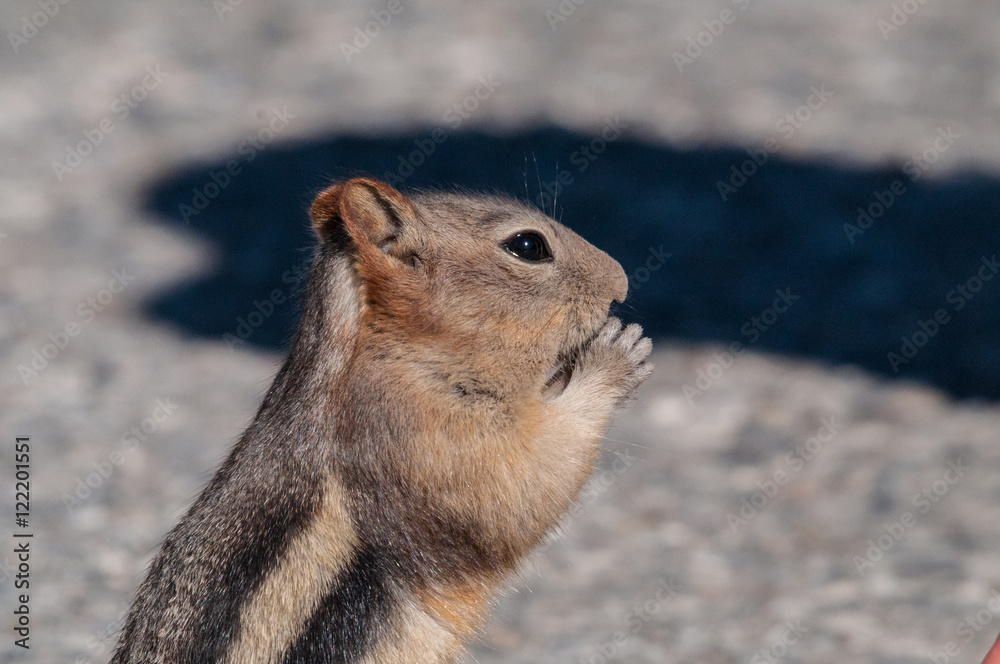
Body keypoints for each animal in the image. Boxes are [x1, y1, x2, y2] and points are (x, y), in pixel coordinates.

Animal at [111, 177, 653, 664]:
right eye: (528, 246)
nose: (622, 281)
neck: (386, 348)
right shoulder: (423, 432)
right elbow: (519, 489)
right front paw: (616, 355)